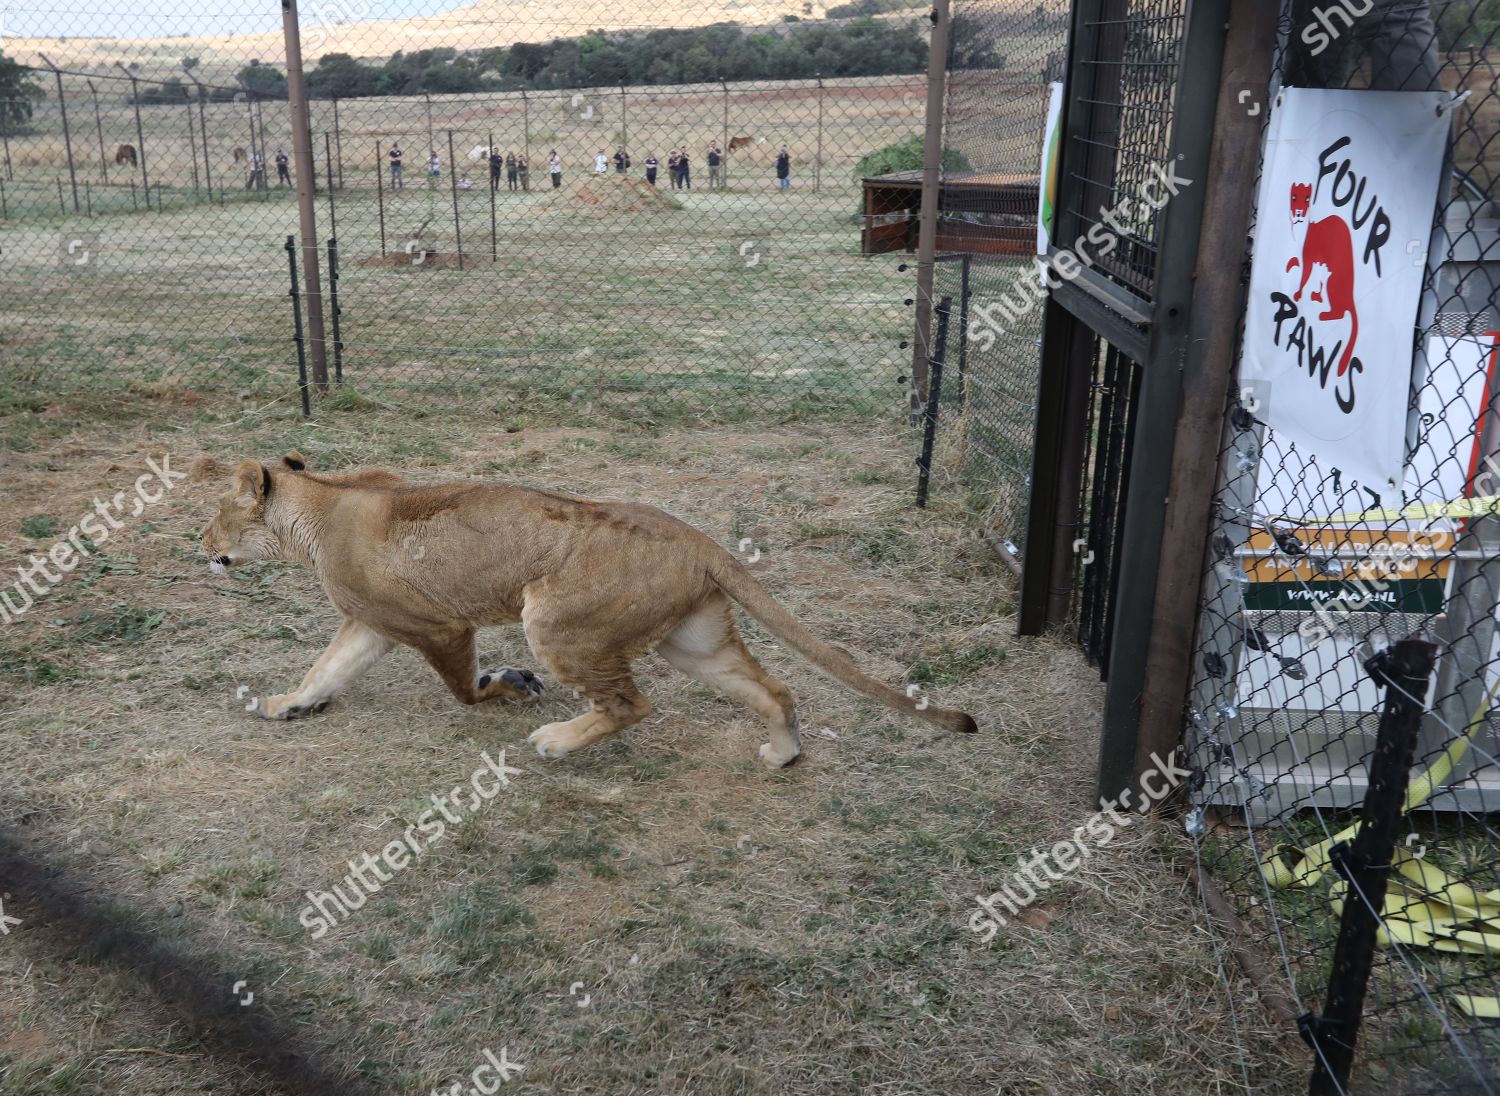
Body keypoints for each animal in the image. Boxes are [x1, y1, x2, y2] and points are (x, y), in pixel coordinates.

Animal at [201, 453, 978, 768]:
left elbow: (465, 690)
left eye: (213, 515)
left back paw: (556, 742)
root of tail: (697, 537)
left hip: (551, 617)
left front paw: (511, 686)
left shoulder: (439, 626)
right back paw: (783, 753)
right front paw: (287, 705)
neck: (319, 506)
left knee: (632, 705)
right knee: (773, 688)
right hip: (691, 639)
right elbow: (326, 668)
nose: (200, 548)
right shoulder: (370, 623)